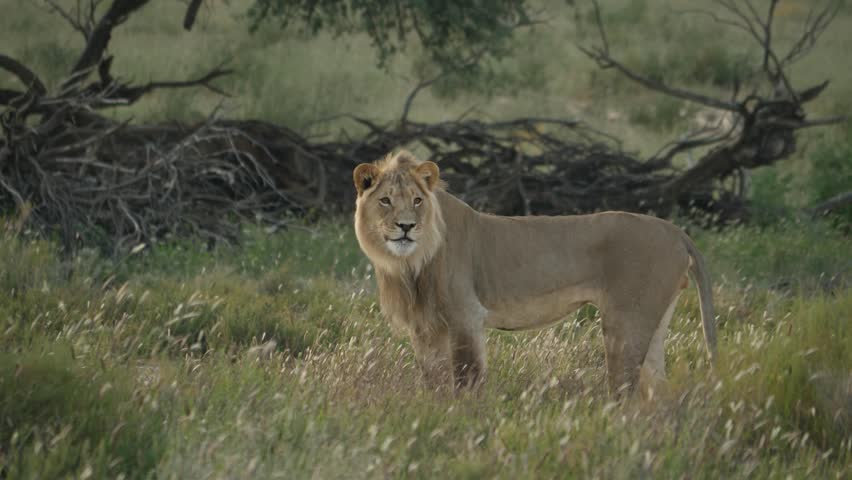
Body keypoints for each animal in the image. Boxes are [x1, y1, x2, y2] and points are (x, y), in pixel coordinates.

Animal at [353, 150, 716, 396]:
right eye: (385, 201)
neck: (409, 264)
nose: (406, 227)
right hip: (653, 323)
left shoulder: (466, 316)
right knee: (658, 390)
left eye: (417, 200)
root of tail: (675, 231)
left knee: (625, 389)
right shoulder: (425, 328)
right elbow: (434, 381)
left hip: (625, 323)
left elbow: (467, 378)